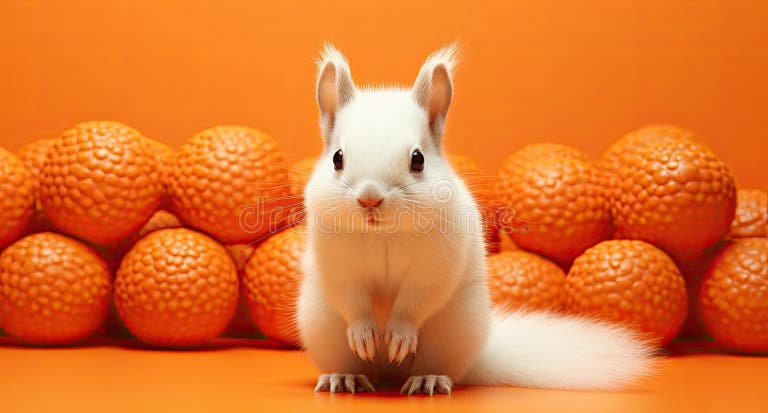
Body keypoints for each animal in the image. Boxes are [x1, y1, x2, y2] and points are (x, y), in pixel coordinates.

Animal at [296, 44, 655, 396]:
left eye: (418, 159)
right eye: (337, 158)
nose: (370, 198)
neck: (383, 232)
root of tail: (389, 373)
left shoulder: (433, 267)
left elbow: (415, 302)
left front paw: (398, 334)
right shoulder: (339, 267)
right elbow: (352, 301)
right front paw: (365, 334)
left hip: (450, 333)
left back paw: (426, 379)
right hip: (323, 326)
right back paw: (346, 378)